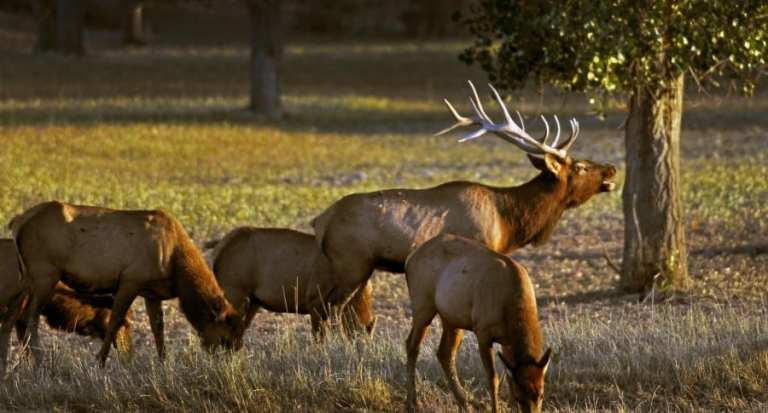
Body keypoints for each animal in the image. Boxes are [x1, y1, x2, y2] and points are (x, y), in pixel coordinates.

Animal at [8, 201, 245, 367]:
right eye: (226, 338)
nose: (229, 364)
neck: (178, 269)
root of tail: (17, 222)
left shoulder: (152, 292)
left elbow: (158, 328)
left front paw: (163, 362)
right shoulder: (131, 280)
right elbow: (115, 322)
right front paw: (100, 361)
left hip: (26, 278)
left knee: (15, 315)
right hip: (45, 273)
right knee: (30, 317)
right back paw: (41, 361)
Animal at [208, 227, 377, 340]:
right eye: (365, 328)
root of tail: (219, 248)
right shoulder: (315, 301)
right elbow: (320, 338)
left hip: (252, 302)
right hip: (235, 293)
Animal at [312, 81, 617, 311]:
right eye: (581, 167)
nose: (612, 169)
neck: (508, 222)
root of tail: (320, 220)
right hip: (351, 263)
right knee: (327, 308)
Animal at [404, 234, 551, 413]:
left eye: (541, 395)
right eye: (519, 398)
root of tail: (409, 260)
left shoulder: (507, 342)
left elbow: (509, 379)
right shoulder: (483, 333)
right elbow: (494, 378)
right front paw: (496, 409)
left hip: (452, 319)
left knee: (444, 353)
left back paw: (463, 403)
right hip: (423, 306)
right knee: (412, 345)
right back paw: (412, 403)